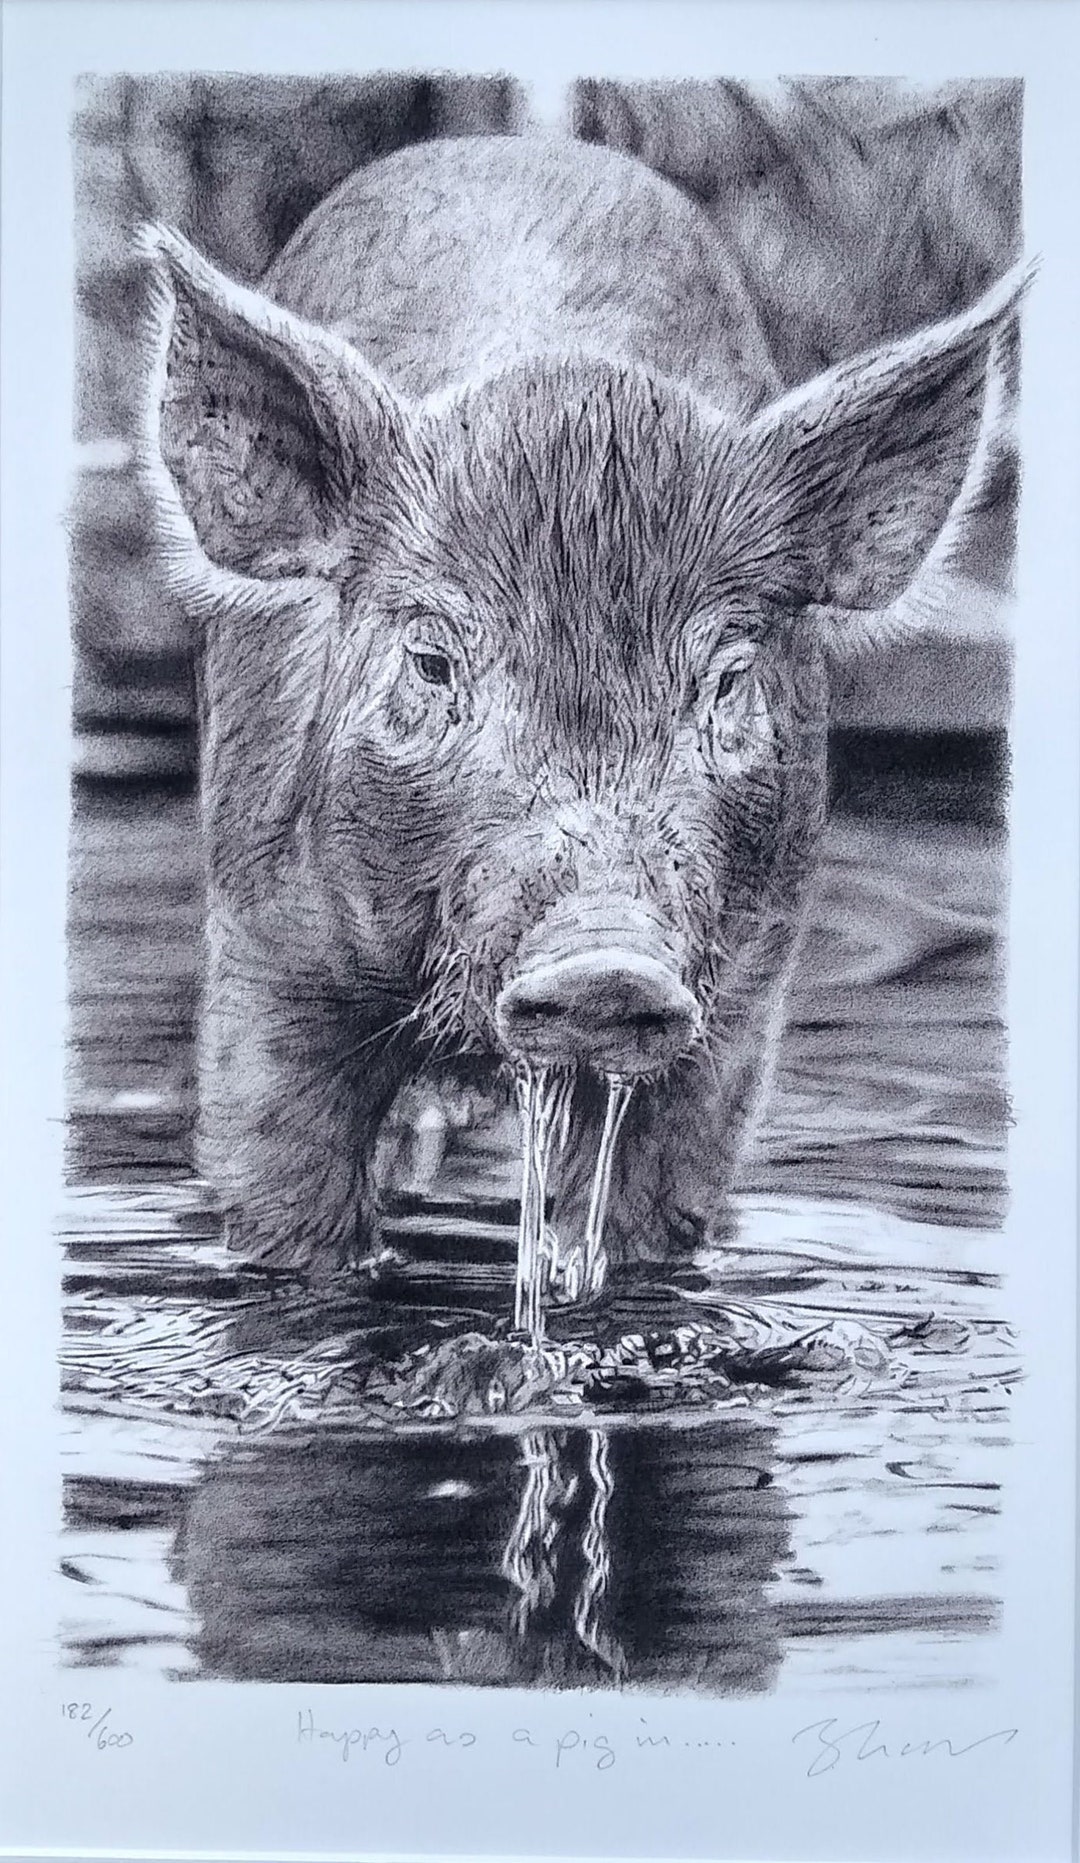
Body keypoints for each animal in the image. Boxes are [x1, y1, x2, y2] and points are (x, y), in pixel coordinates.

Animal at [138, 132, 1024, 1281]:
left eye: (727, 677)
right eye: (432, 661)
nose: (607, 957)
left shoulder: (742, 1003)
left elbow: (654, 1209)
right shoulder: (269, 951)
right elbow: (284, 1190)